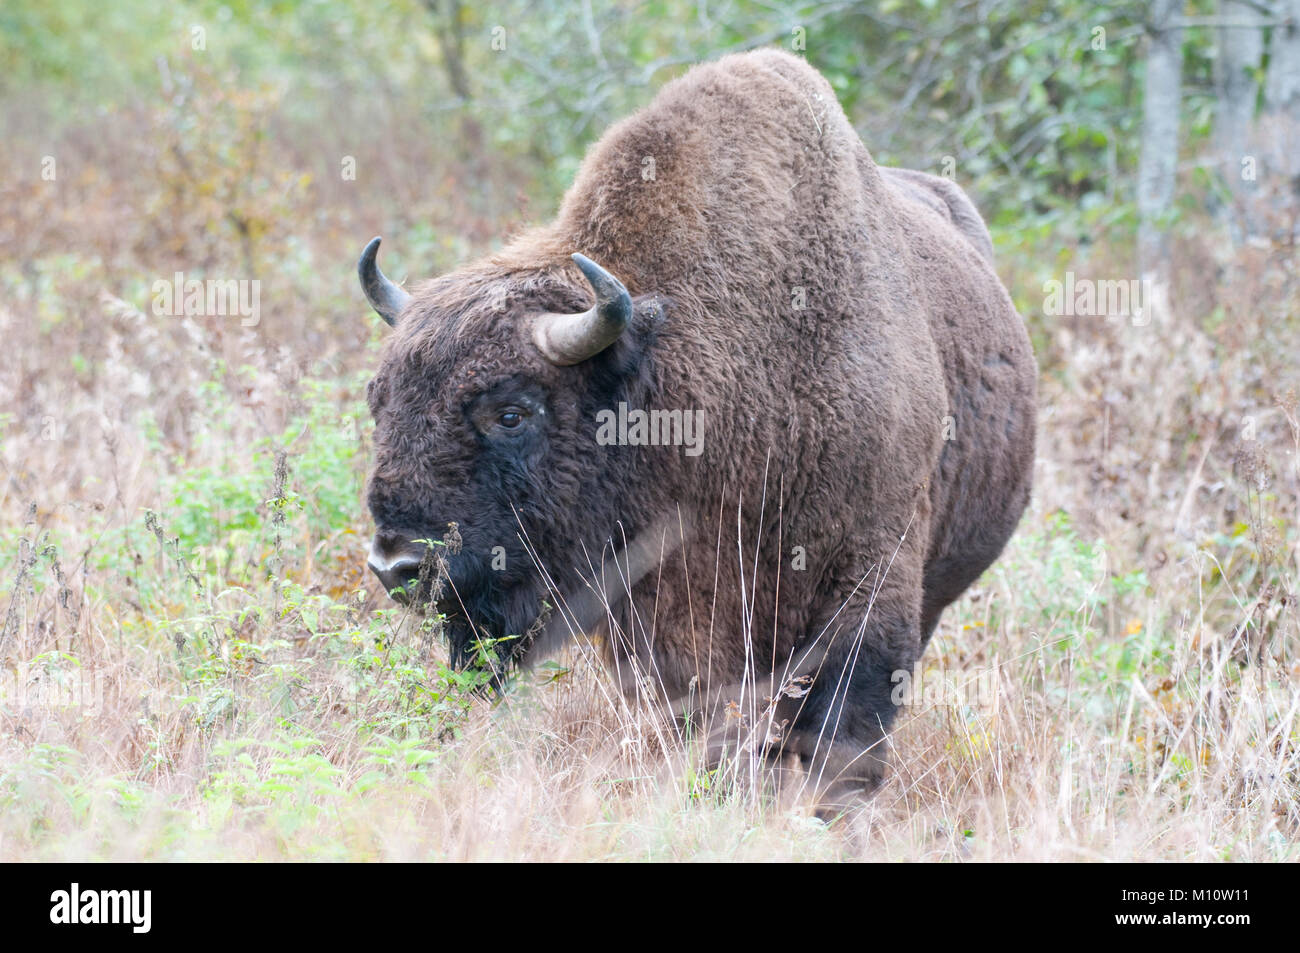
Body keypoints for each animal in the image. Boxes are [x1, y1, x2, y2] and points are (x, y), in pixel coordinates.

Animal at [358, 50, 1036, 805]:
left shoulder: (871, 583)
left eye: (512, 411)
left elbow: (844, 732)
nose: (398, 565)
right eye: (379, 402)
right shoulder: (667, 613)